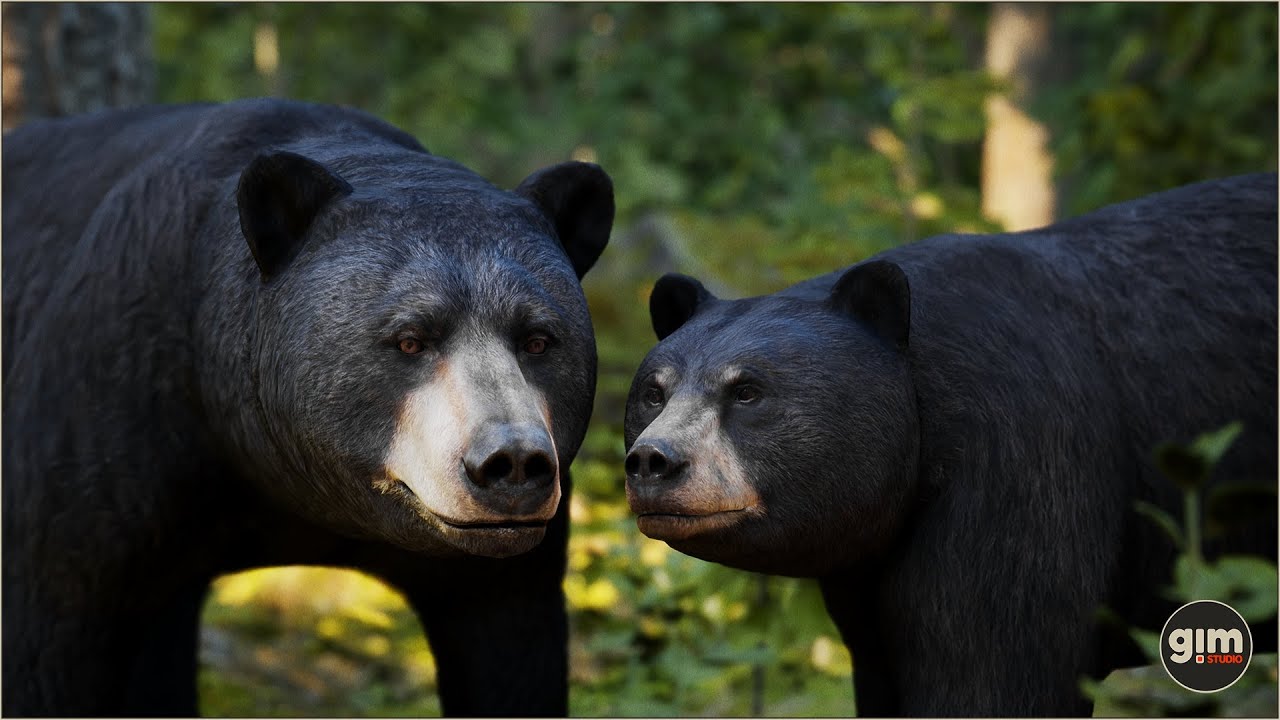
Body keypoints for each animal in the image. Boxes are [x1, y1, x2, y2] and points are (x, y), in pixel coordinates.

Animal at [2, 98, 613, 717]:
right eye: (410, 339)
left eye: (537, 339)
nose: (509, 462)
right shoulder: (115, 425)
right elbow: (51, 638)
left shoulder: (505, 567)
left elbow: (511, 649)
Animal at [622, 173, 1278, 716]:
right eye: (654, 391)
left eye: (748, 391)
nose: (653, 461)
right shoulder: (868, 573)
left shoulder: (1021, 460)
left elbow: (994, 662)